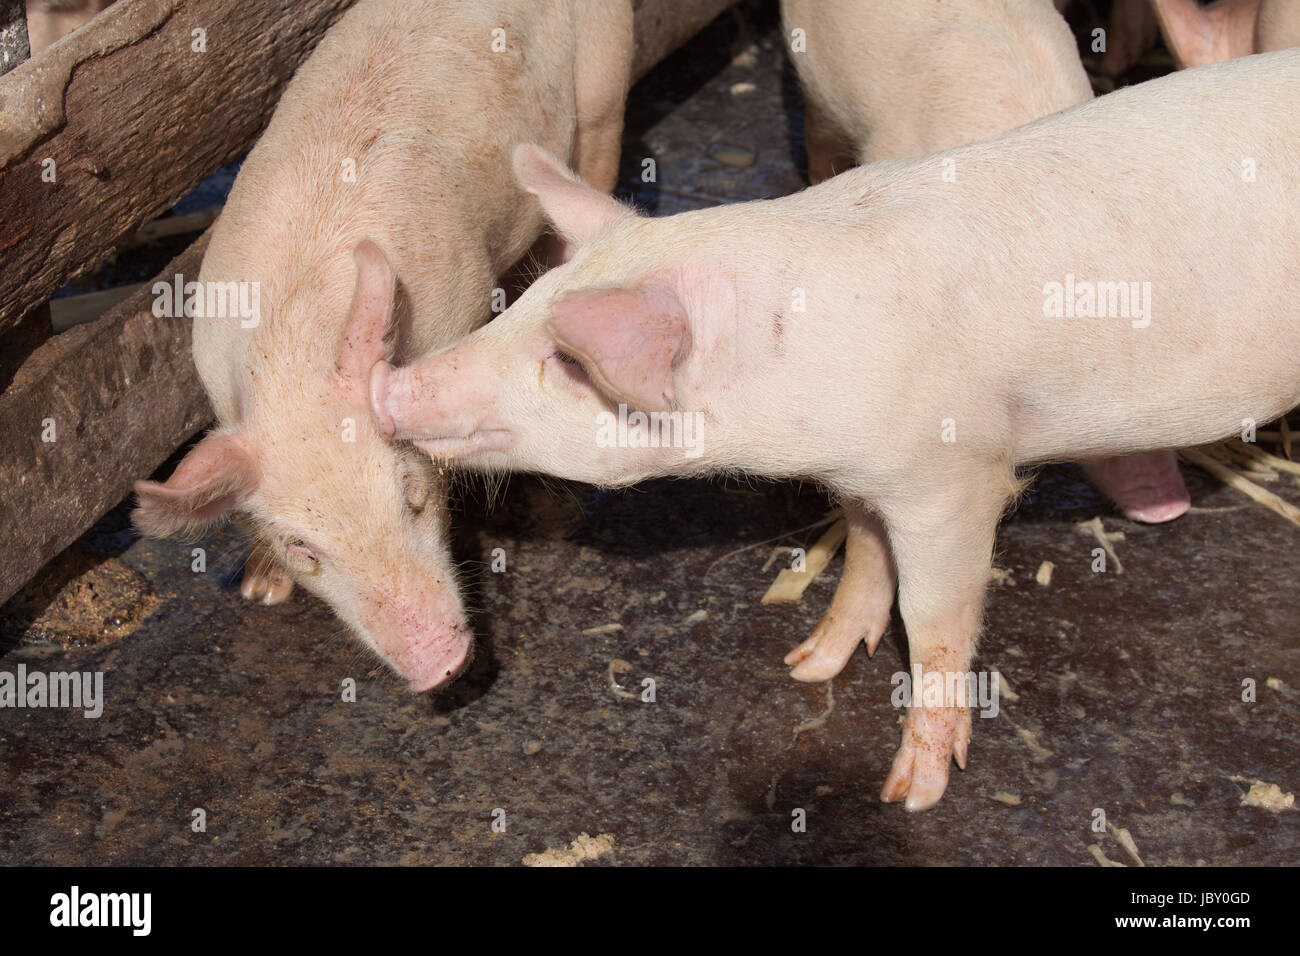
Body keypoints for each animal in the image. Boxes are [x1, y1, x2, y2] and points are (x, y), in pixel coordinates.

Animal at [132, 0, 634, 691]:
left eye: (410, 493)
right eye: (303, 547)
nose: (441, 666)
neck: (293, 358)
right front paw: (262, 593)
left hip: (606, 69)